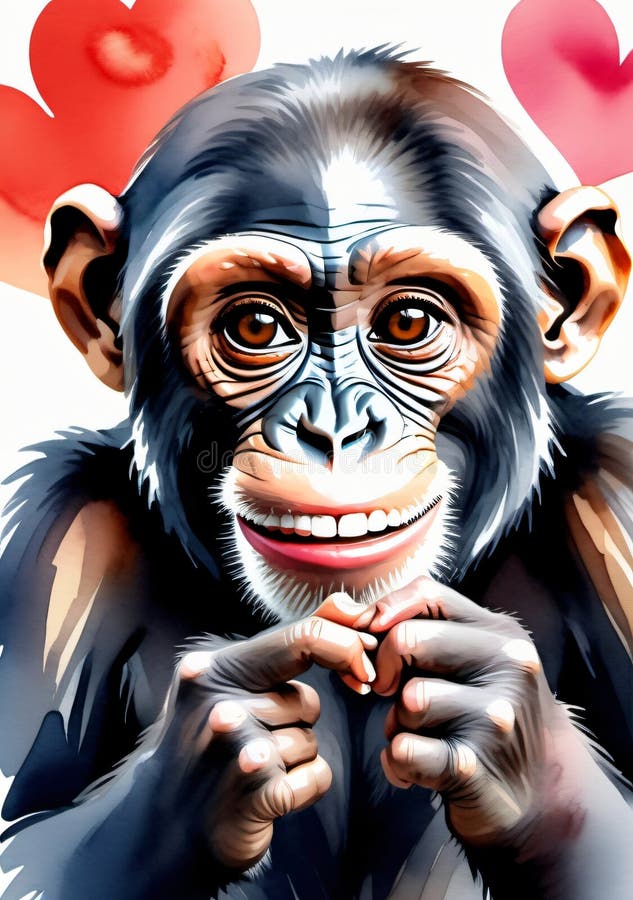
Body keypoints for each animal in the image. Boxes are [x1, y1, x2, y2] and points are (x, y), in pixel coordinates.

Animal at [1, 47, 632, 899]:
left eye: (408, 321)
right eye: (256, 325)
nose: (331, 429)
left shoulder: (618, 501)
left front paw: (504, 726)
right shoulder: (58, 541)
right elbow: (17, 834)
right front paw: (214, 752)